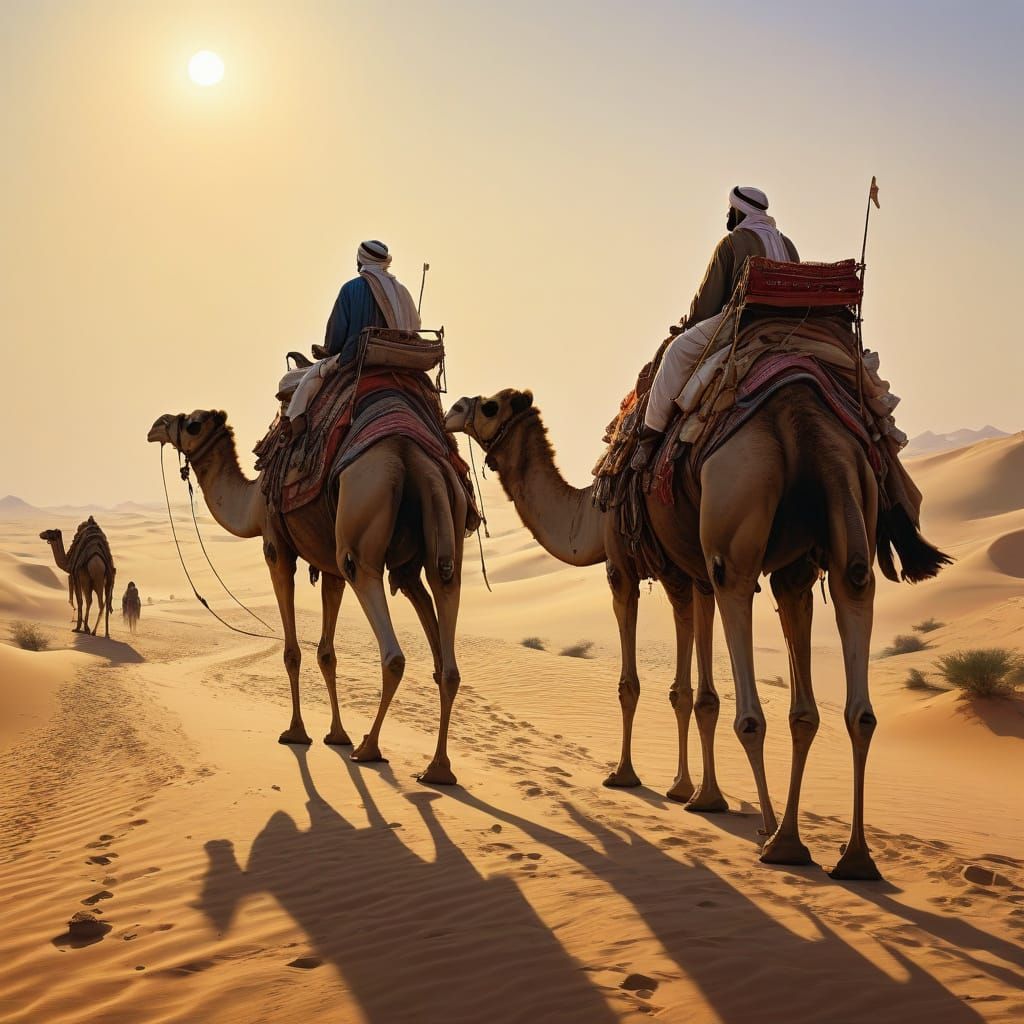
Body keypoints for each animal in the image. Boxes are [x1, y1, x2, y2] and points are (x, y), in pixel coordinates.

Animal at [147, 410, 469, 784]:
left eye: (193, 424)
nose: (156, 426)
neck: (253, 500)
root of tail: (407, 453)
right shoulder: (329, 568)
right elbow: (326, 654)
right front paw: (336, 734)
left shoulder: (276, 547)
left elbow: (293, 652)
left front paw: (295, 732)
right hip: (442, 520)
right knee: (445, 628)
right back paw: (438, 768)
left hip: (360, 526)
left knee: (391, 648)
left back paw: (370, 748)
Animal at [446, 387, 949, 879]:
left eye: (489, 405)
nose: (452, 409)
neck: (589, 514)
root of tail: (800, 420)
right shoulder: (684, 576)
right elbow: (692, 693)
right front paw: (694, 792)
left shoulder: (622, 565)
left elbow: (632, 685)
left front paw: (625, 775)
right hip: (837, 513)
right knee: (846, 662)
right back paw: (842, 854)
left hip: (734, 521)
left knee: (750, 694)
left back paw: (773, 837)